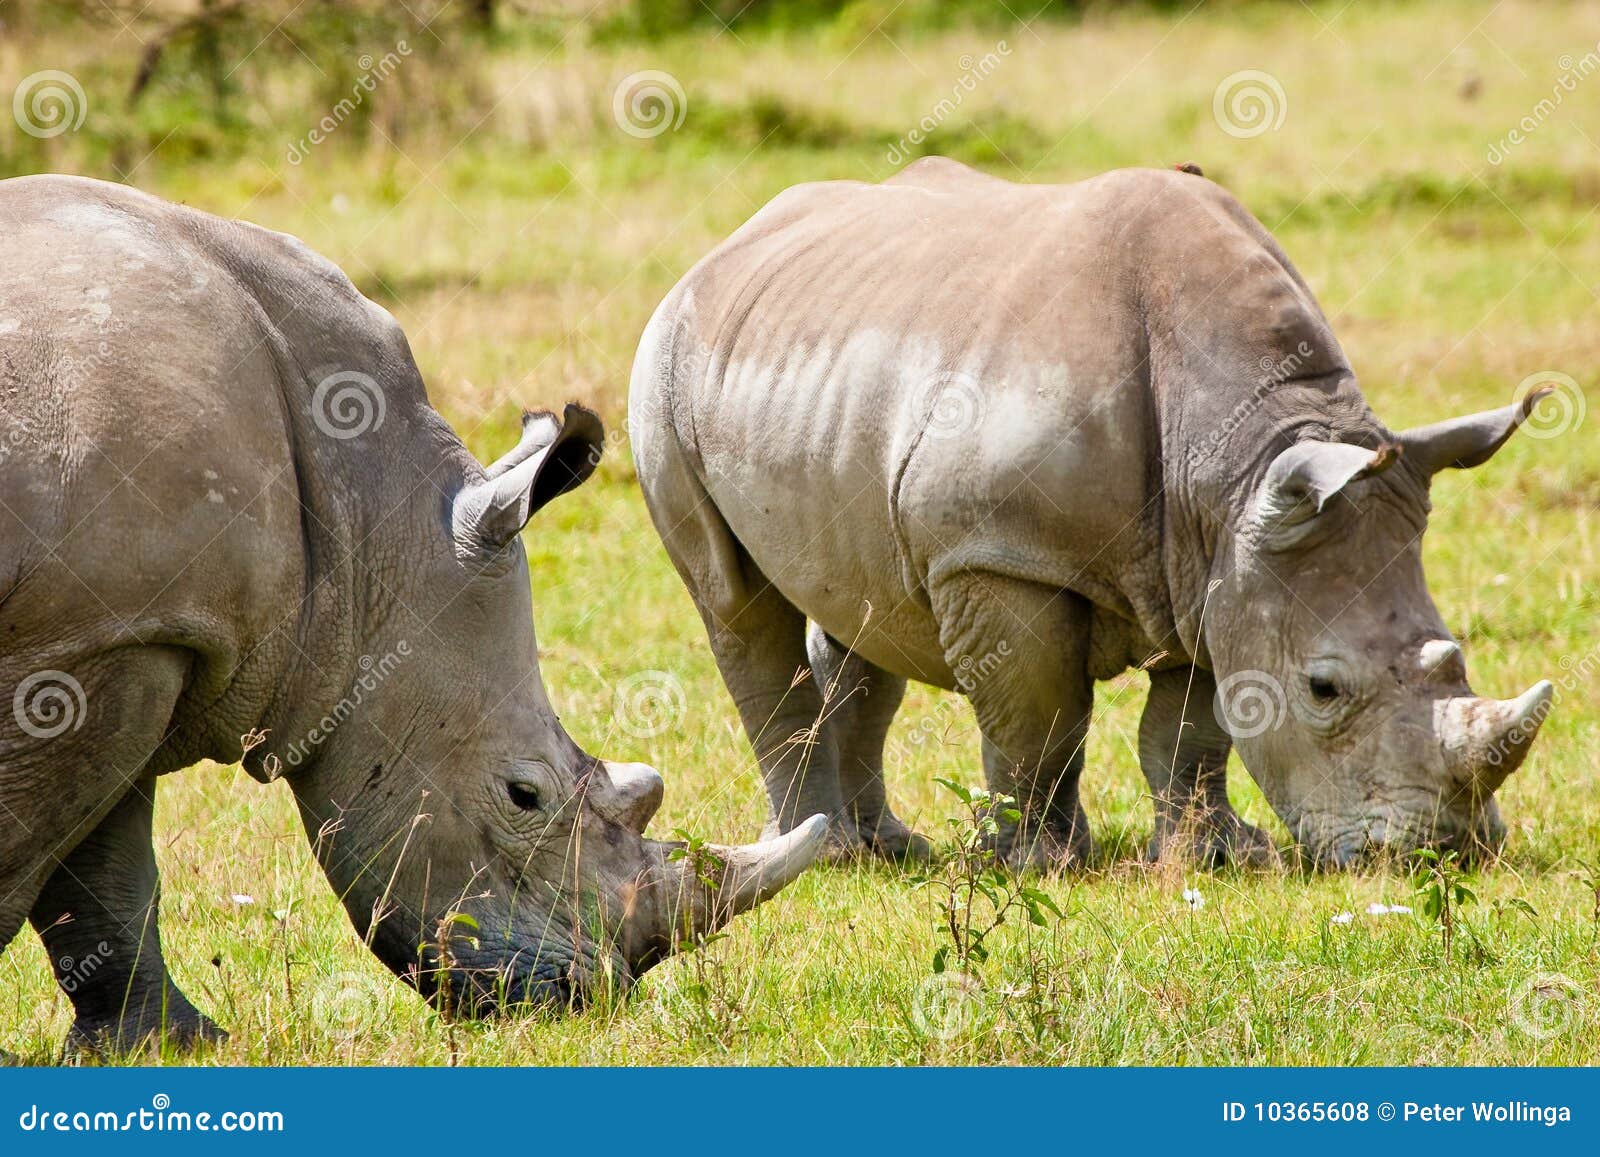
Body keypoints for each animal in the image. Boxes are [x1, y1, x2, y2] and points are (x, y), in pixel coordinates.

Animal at [0, 175, 825, 1051]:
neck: (365, 510)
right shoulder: (81, 647)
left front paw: (168, 1045)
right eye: (523, 794)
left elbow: (106, 867)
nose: (583, 998)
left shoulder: (135, 630)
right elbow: (33, 848)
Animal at [629, 158, 1556, 870]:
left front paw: (1216, 856)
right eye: (1324, 688)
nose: (1447, 853)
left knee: (859, 608)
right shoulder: (998, 552)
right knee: (735, 603)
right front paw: (1041, 863)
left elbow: (1192, 726)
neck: (1242, 448)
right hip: (664, 361)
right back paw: (827, 852)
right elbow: (1040, 718)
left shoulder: (1221, 553)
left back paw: (889, 846)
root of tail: (723, 247)